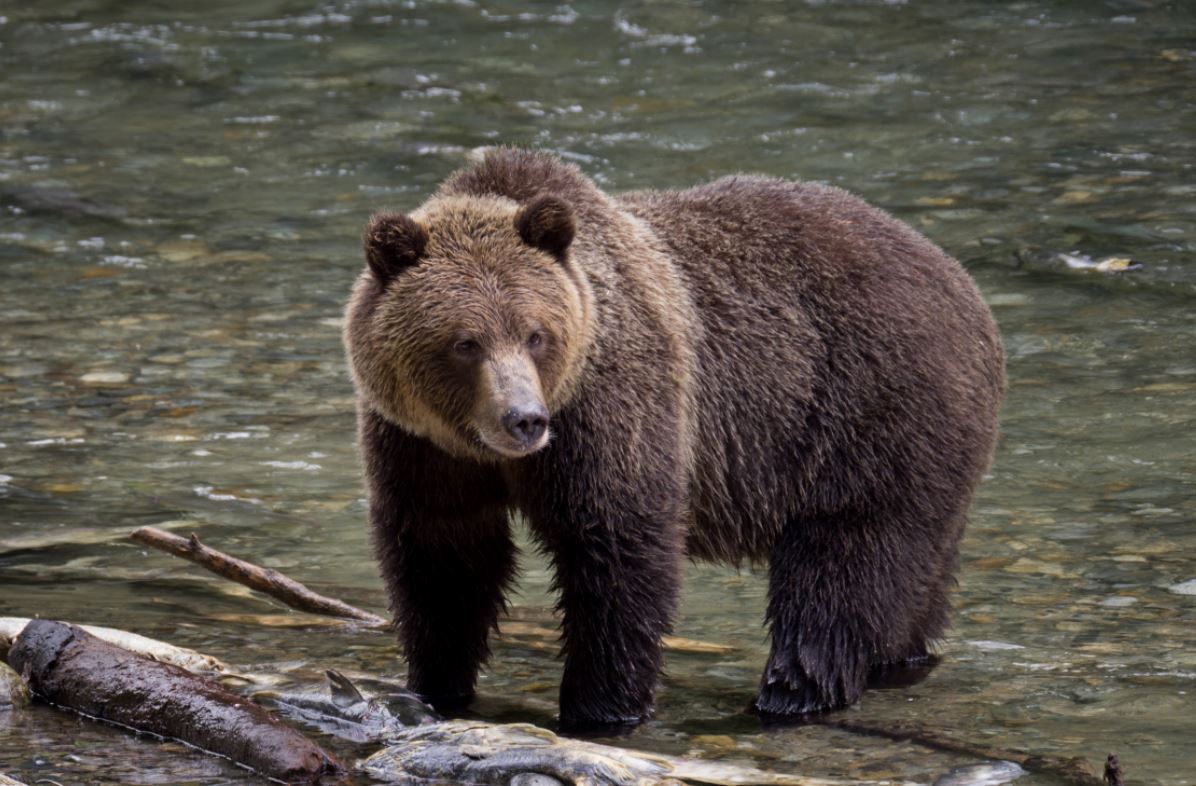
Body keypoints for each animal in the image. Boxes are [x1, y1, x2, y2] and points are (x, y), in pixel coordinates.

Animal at [343, 148, 1004, 728]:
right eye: (465, 341)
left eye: (535, 334)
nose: (524, 419)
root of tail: (965, 288)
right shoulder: (422, 445)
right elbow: (444, 555)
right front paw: (436, 684)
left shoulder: (610, 406)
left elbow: (616, 548)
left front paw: (600, 708)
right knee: (914, 578)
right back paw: (897, 661)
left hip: (870, 413)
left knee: (842, 564)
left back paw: (791, 694)